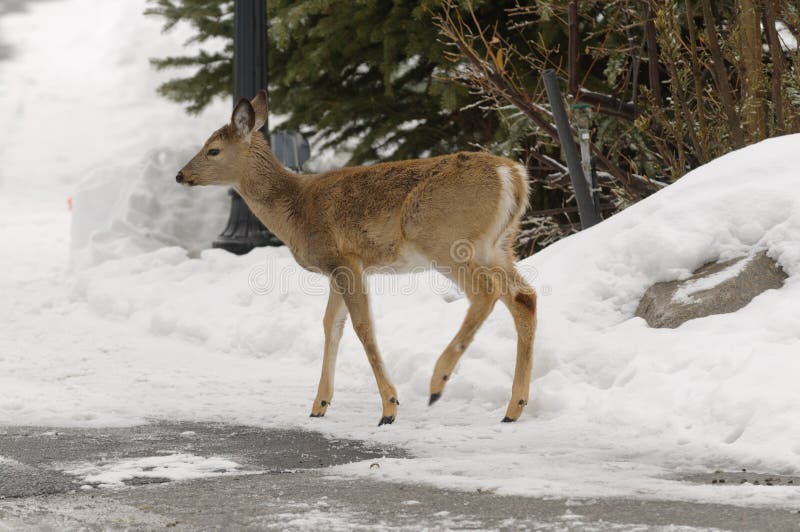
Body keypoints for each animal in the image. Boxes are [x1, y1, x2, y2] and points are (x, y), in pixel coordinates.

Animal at [176, 90, 537, 426]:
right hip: (499, 245)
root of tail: (512, 175)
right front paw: (319, 405)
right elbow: (331, 325)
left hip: (446, 239)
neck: (294, 208)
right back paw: (513, 408)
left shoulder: (345, 260)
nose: (180, 175)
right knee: (525, 297)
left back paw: (438, 382)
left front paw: (389, 408)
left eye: (213, 150)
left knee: (486, 292)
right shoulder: (338, 268)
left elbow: (363, 326)